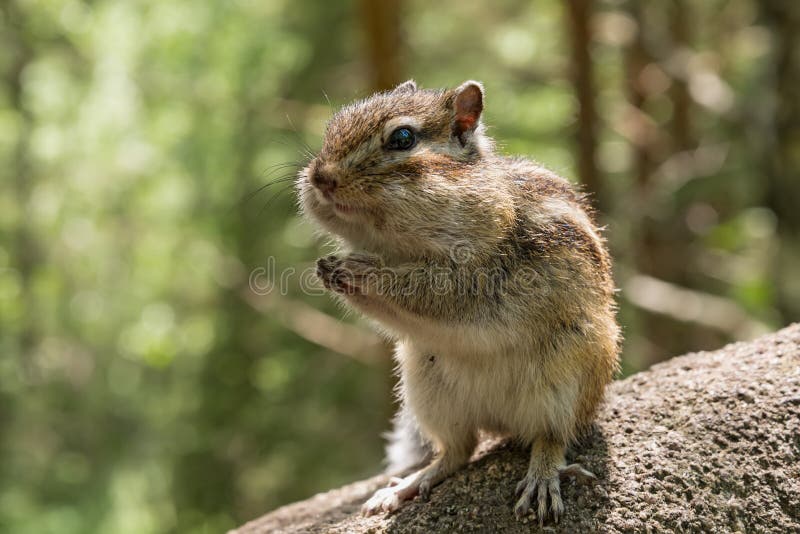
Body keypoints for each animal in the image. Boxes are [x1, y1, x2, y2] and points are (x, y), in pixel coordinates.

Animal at [296, 79, 620, 524]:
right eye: (331, 128)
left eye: (402, 138)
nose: (321, 177)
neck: (400, 246)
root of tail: (501, 422)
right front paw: (328, 269)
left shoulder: (481, 270)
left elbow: (431, 290)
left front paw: (361, 268)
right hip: (427, 388)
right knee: (458, 450)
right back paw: (407, 485)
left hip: (564, 382)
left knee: (551, 436)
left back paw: (542, 475)